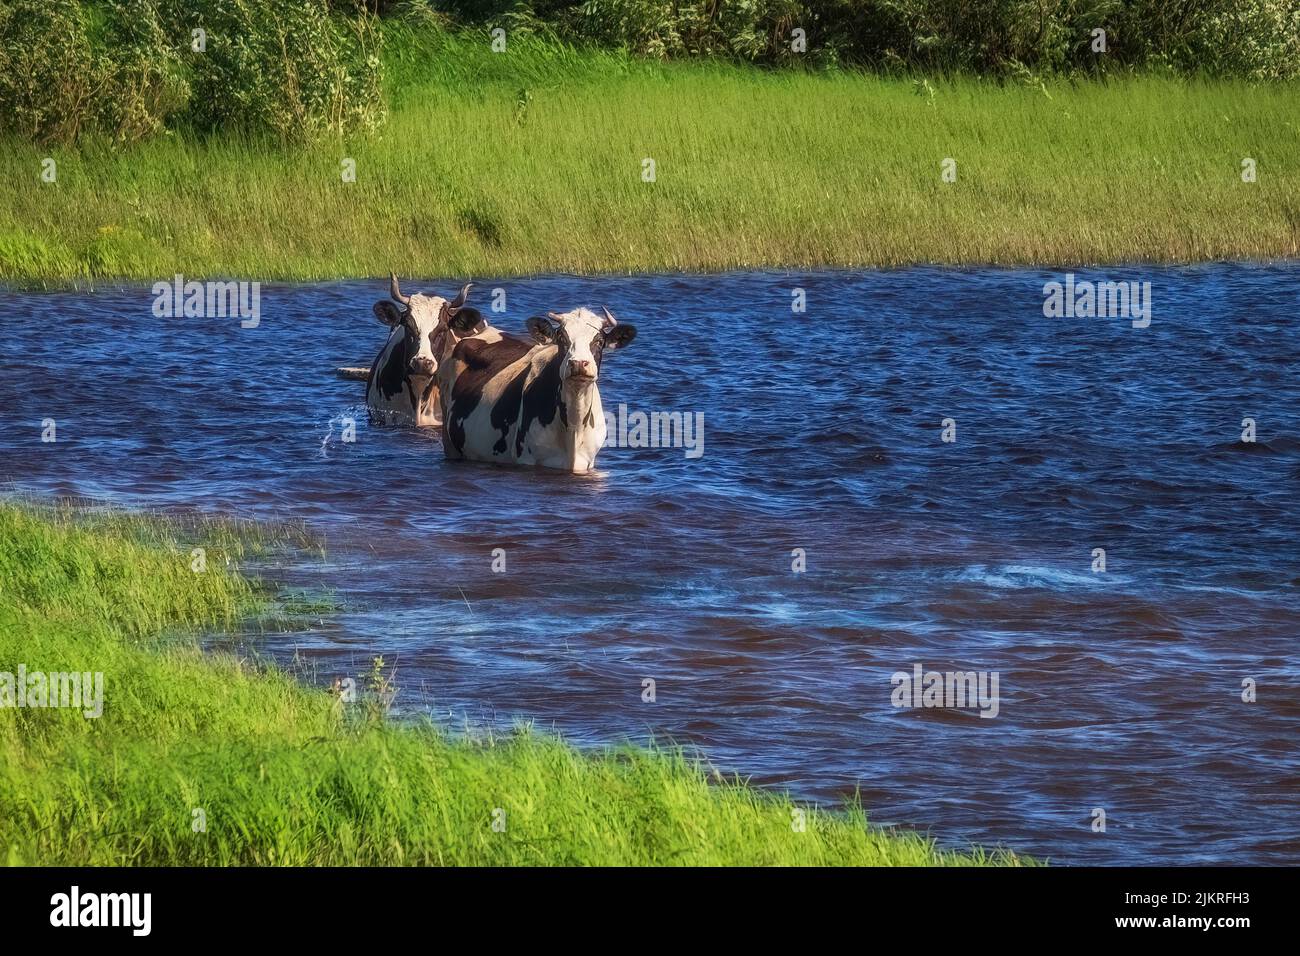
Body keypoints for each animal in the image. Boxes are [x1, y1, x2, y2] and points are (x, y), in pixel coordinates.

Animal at [443, 306, 637, 473]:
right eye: (562, 338)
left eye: (599, 341)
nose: (578, 363)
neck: (573, 429)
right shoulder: (527, 459)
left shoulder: (588, 462)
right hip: (449, 440)